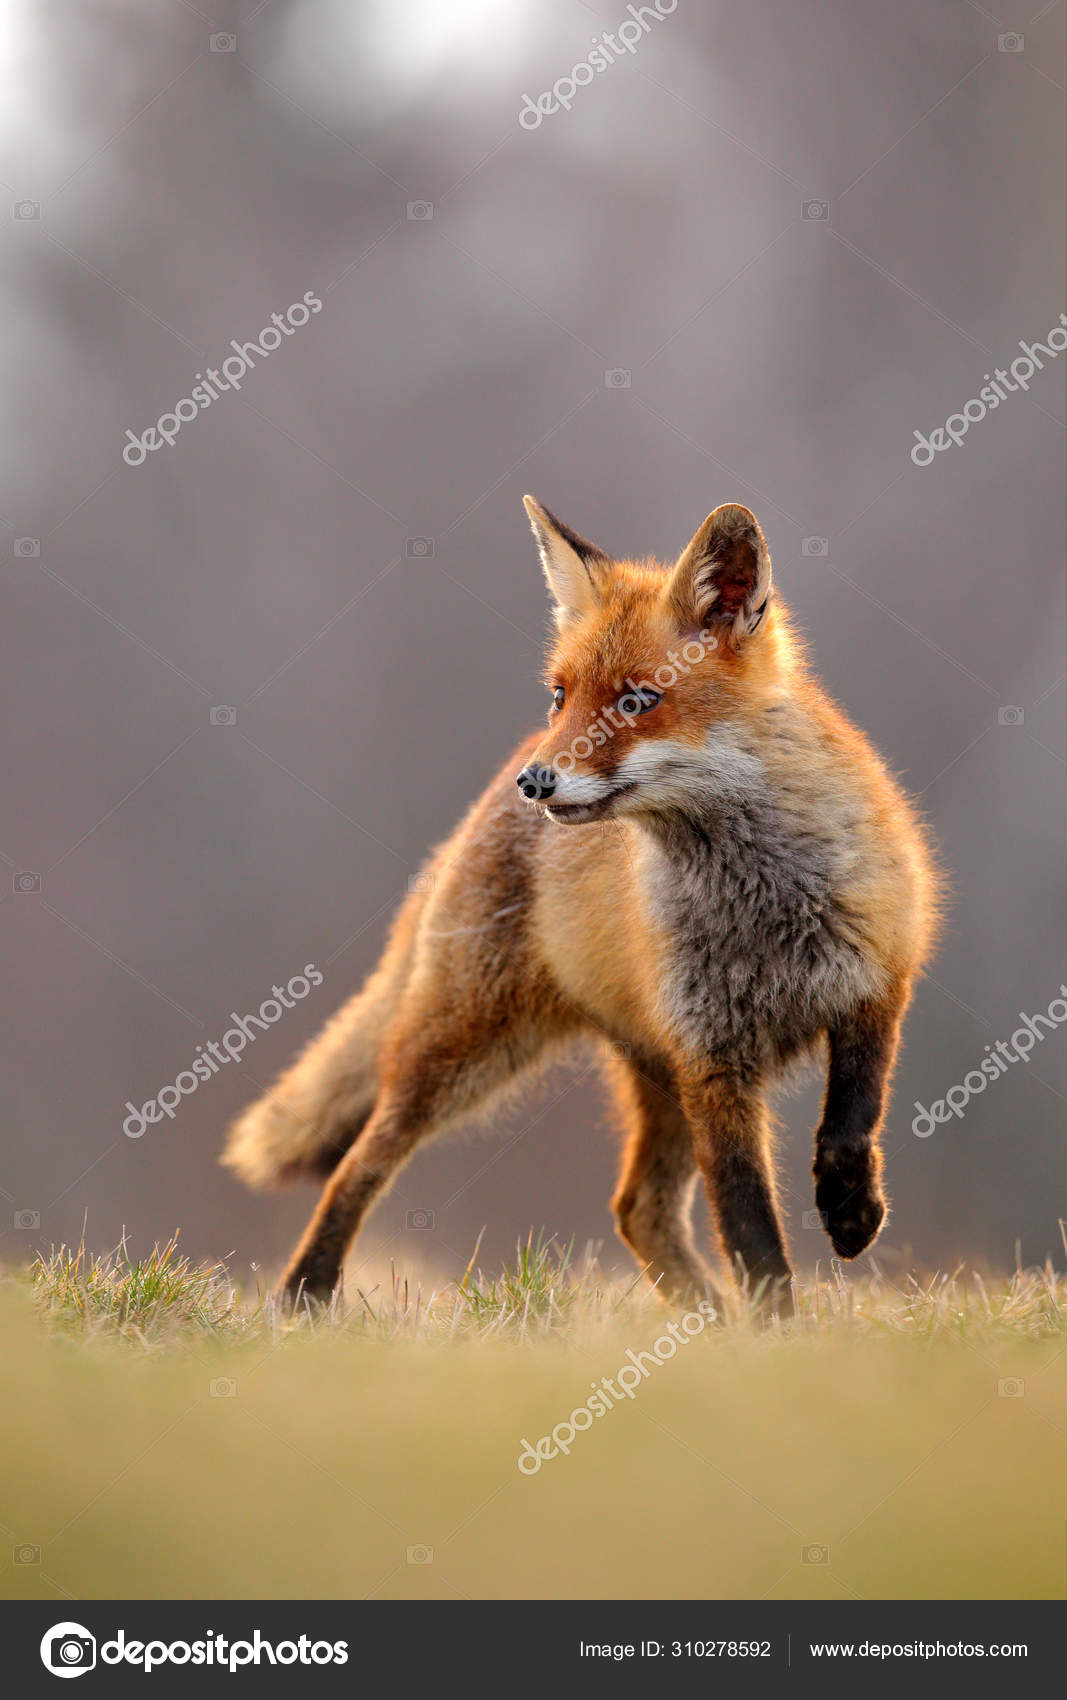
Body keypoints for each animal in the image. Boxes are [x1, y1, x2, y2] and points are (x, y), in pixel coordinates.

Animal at [224, 496, 940, 1314]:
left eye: (636, 700)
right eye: (560, 695)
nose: (534, 783)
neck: (760, 907)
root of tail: (478, 803)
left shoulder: (876, 982)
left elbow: (852, 1121)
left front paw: (849, 1214)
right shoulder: (711, 1061)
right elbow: (750, 1229)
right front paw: (775, 1331)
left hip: (643, 1072)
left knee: (637, 1209)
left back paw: (707, 1317)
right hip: (463, 1051)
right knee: (360, 1165)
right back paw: (302, 1297)